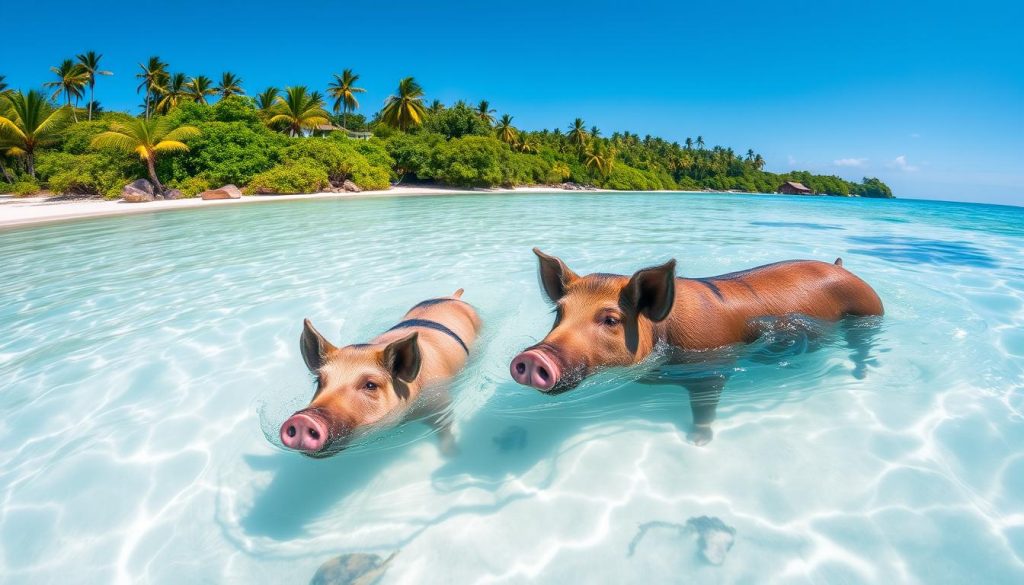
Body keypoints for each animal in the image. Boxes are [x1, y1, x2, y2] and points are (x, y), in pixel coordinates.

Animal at [281, 289, 481, 457]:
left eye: (370, 385)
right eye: (319, 381)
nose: (303, 419)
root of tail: (453, 296)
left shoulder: (440, 401)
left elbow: (445, 426)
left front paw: (452, 454)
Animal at [510, 249, 883, 444]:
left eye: (611, 319)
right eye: (559, 312)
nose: (533, 356)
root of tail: (843, 268)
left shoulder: (711, 370)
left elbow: (704, 408)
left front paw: (697, 442)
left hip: (869, 312)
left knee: (862, 348)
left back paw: (862, 376)